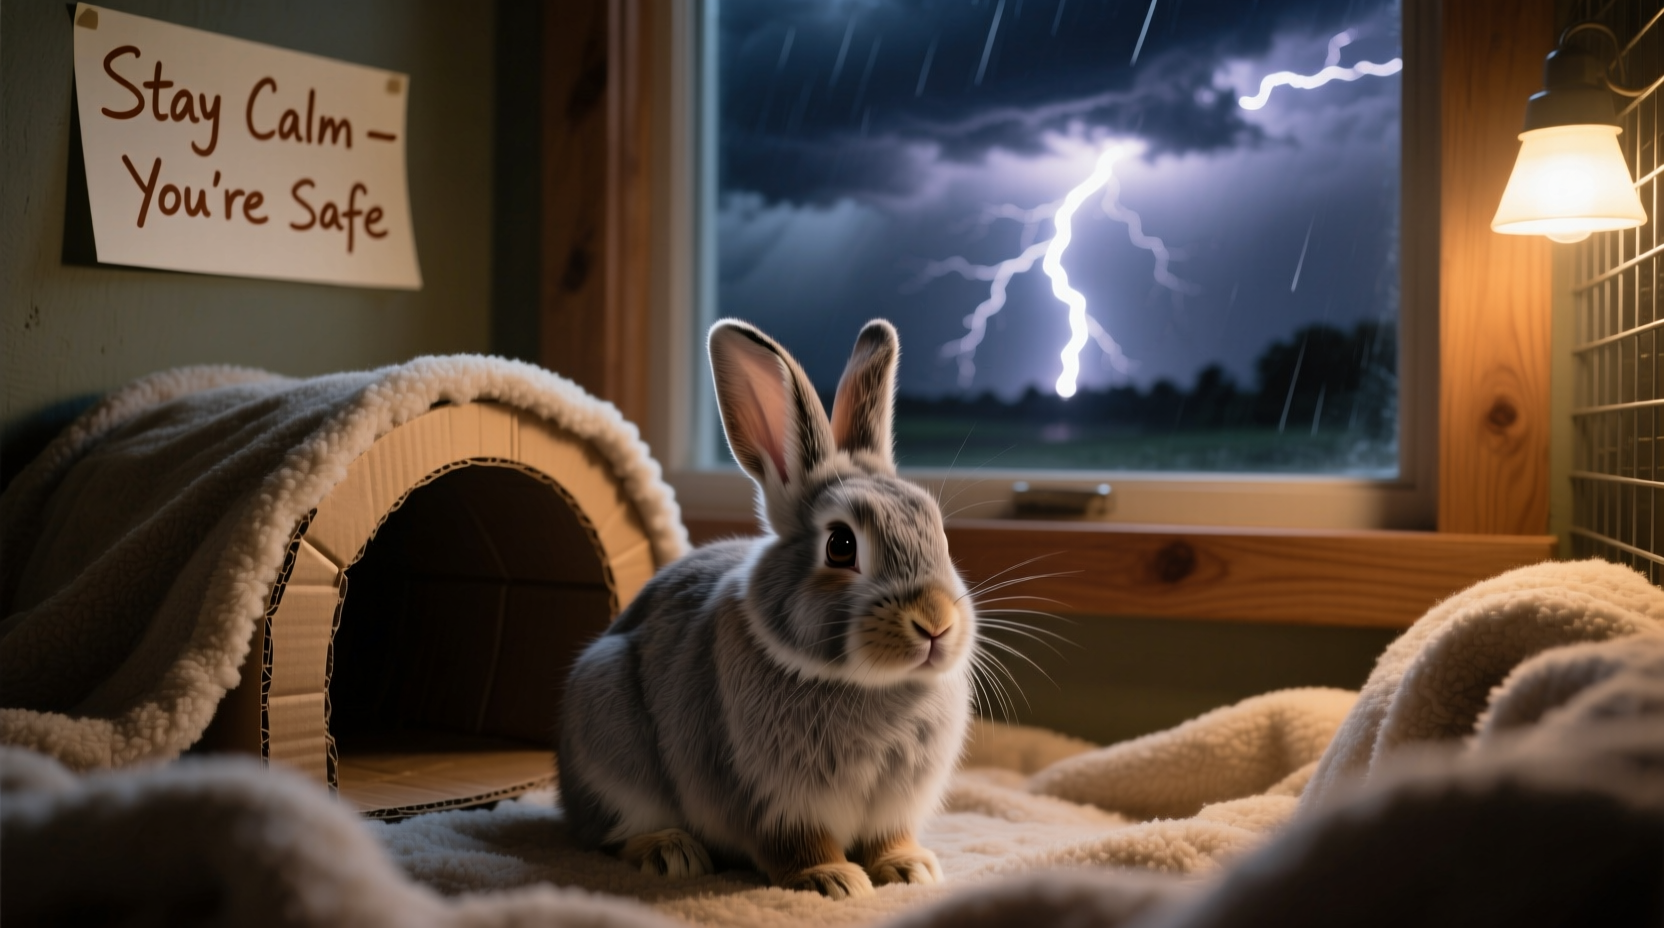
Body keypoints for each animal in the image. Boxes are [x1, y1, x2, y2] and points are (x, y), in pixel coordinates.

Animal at [557, 318, 977, 899]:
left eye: (938, 530)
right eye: (841, 545)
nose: (936, 624)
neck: (872, 686)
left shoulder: (892, 807)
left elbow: (888, 838)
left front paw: (910, 869)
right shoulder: (774, 800)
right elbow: (796, 845)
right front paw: (833, 881)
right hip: (607, 727)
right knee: (610, 831)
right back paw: (670, 853)